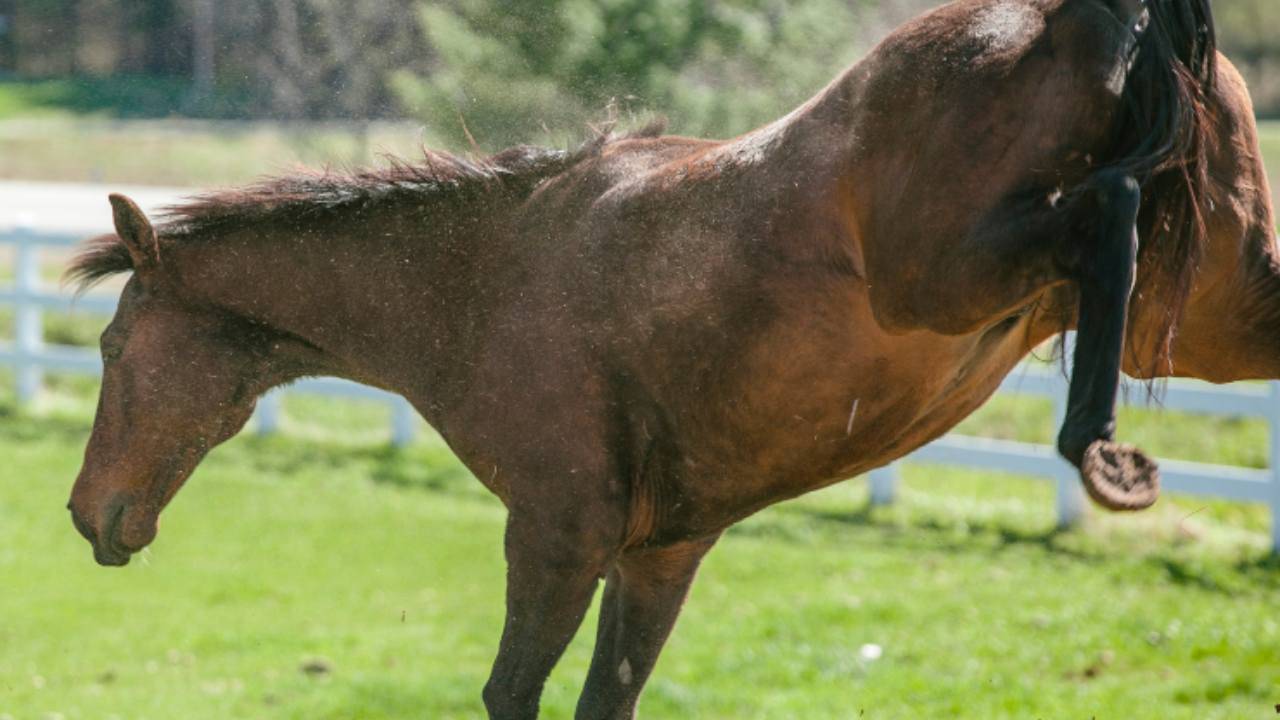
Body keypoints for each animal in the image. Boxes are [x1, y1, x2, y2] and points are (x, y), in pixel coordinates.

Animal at [65, 0, 1271, 717]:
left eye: (114, 345)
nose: (87, 514)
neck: (488, 279)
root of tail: (1104, 12)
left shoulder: (555, 539)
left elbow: (513, 694)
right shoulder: (659, 554)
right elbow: (607, 699)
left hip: (951, 273)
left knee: (1103, 214)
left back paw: (1099, 449)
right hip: (1222, 307)